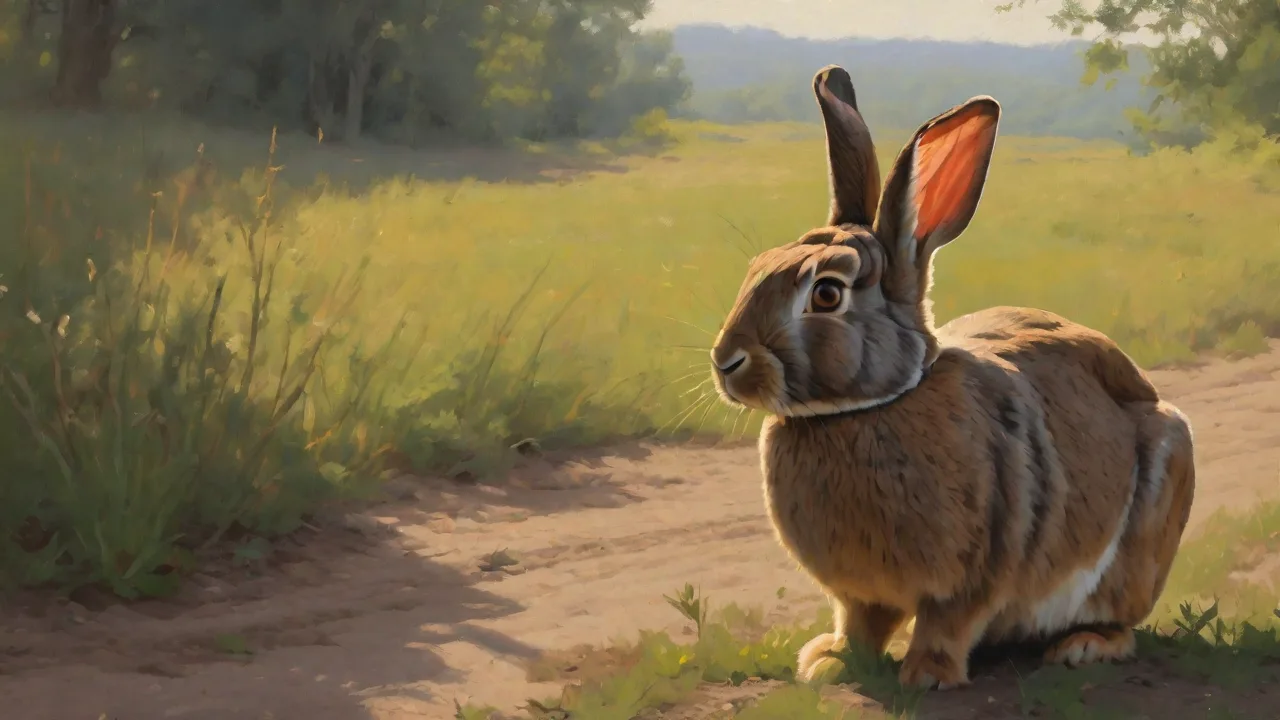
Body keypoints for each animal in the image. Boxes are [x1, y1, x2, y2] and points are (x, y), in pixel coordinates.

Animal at [708, 65, 1196, 690]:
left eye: (827, 294)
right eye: (756, 268)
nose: (726, 362)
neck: (869, 407)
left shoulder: (979, 567)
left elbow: (949, 621)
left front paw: (928, 674)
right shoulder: (859, 594)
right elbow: (859, 622)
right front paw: (829, 662)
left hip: (1150, 519)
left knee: (1120, 616)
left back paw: (1083, 645)